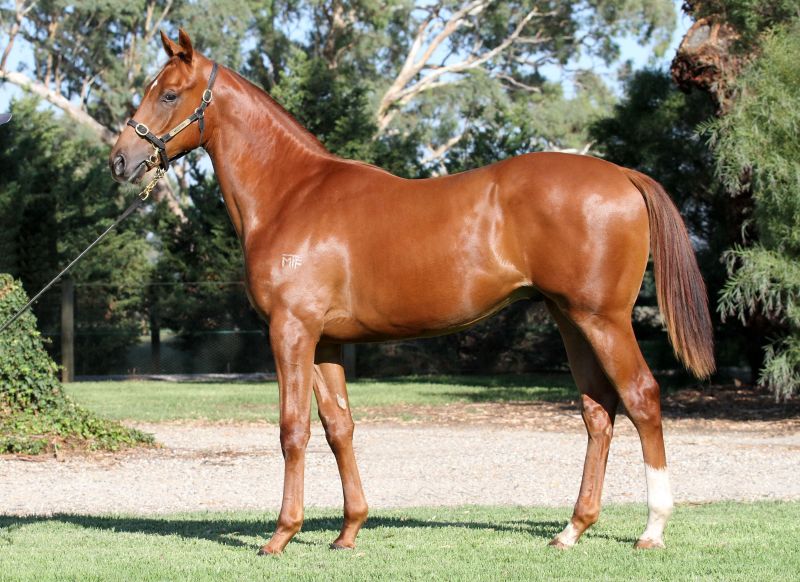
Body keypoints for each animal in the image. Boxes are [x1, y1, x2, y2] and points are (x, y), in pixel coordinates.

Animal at [110, 29, 714, 555]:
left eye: (168, 93)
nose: (120, 159)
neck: (292, 194)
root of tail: (622, 175)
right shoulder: (326, 341)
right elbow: (339, 427)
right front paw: (348, 531)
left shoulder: (291, 330)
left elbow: (292, 429)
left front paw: (281, 535)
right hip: (571, 320)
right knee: (597, 411)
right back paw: (572, 529)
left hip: (603, 319)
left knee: (641, 398)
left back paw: (652, 528)